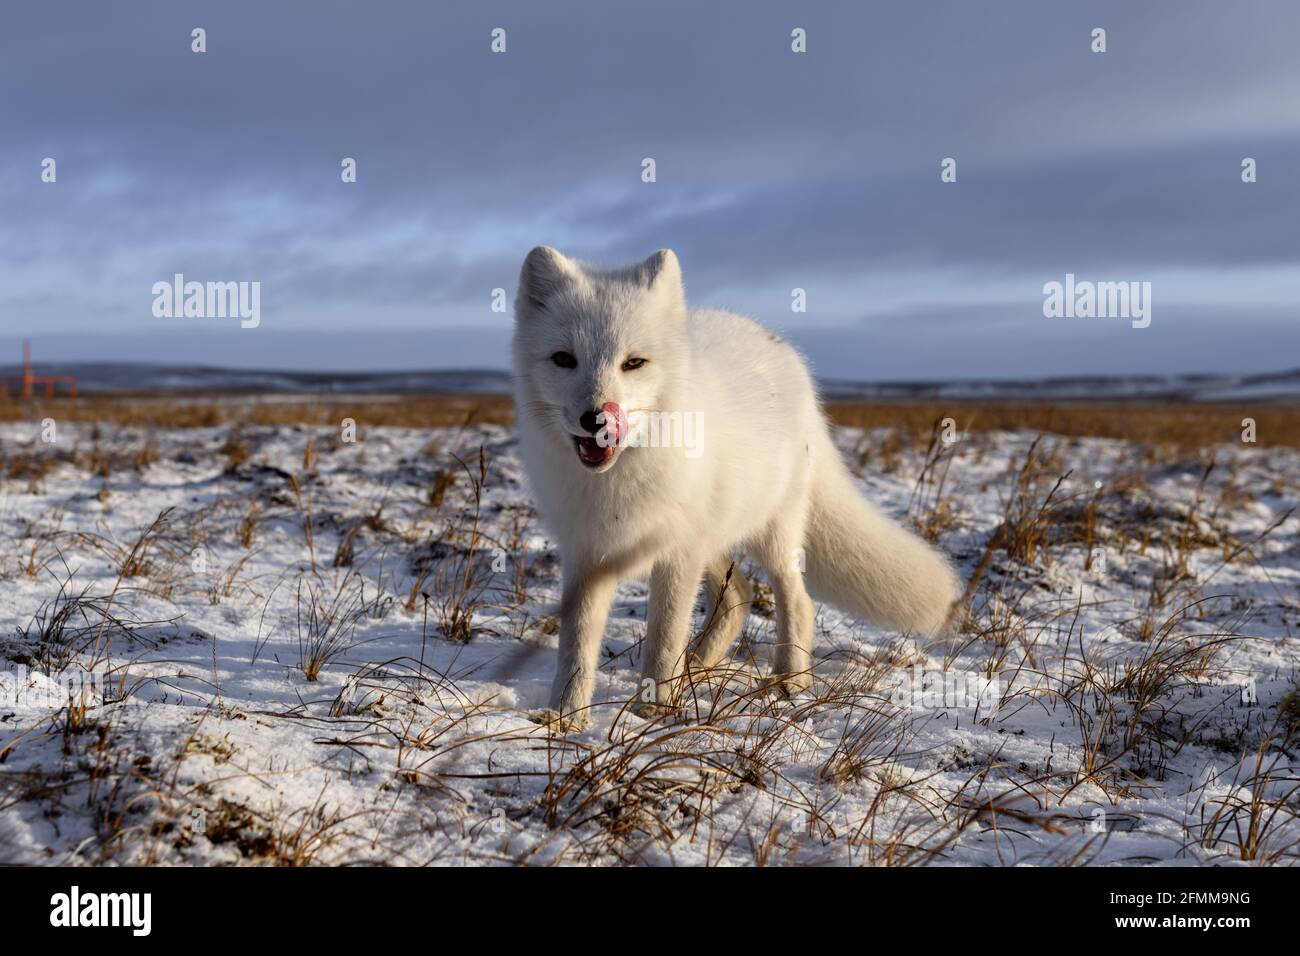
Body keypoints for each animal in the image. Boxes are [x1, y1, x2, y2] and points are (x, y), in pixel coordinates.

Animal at [512, 246, 960, 729]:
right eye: (563, 359)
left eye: (633, 363)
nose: (597, 418)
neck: (617, 480)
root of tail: (780, 346)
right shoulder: (586, 554)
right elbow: (575, 645)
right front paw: (564, 718)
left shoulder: (677, 556)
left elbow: (663, 638)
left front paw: (653, 708)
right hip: (712, 535)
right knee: (739, 597)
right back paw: (699, 666)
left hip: (771, 533)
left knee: (796, 599)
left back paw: (790, 680)